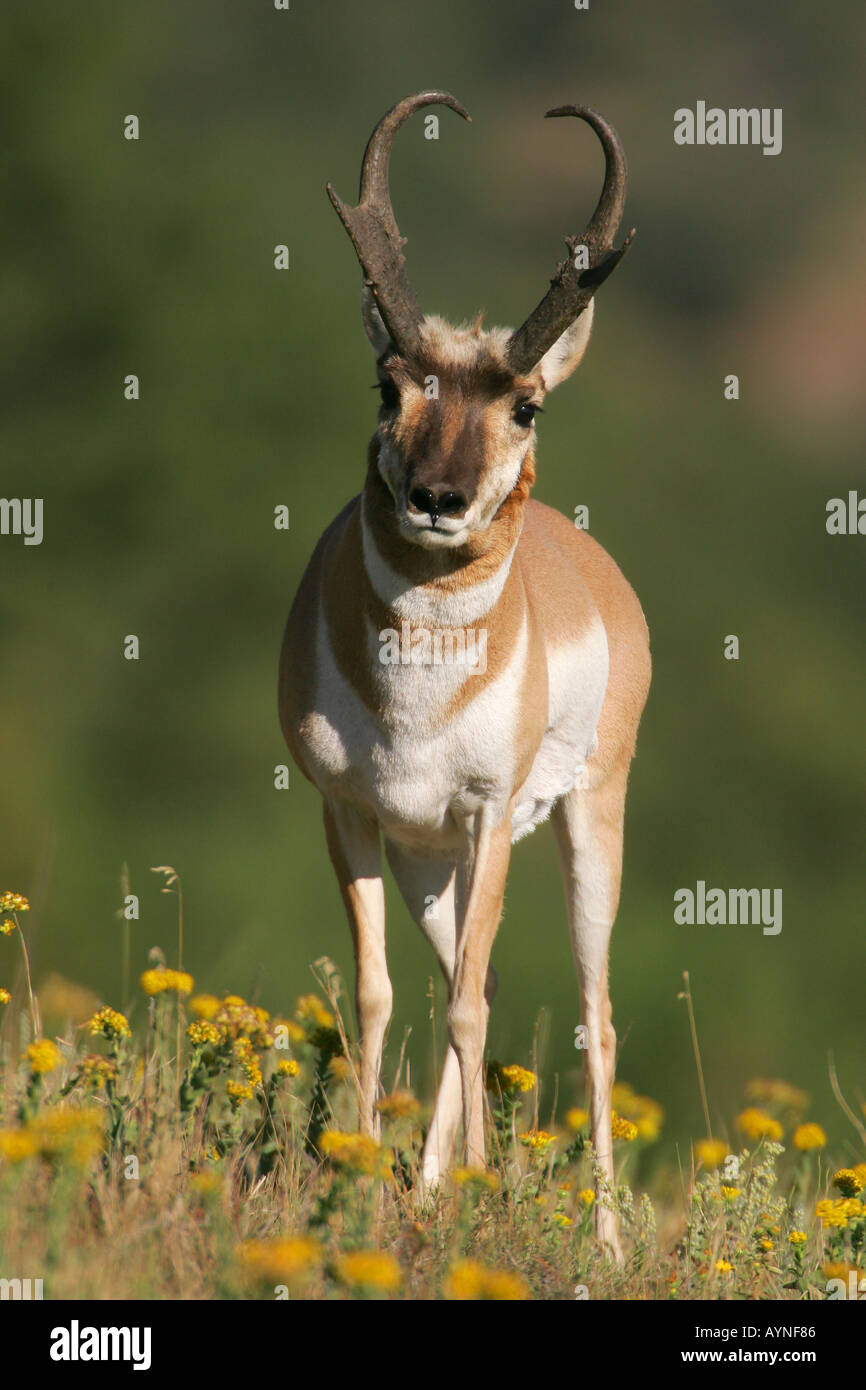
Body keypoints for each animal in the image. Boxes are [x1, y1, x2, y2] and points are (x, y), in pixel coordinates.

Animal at [278, 91, 651, 1255]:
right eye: (389, 382)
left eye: (524, 405)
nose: (436, 499)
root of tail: (596, 571)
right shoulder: (352, 813)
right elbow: (380, 994)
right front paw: (363, 1184)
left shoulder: (488, 810)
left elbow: (475, 1007)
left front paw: (447, 1190)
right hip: (429, 858)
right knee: (460, 966)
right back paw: (463, 1175)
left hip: (583, 819)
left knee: (590, 1011)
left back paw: (604, 1236)